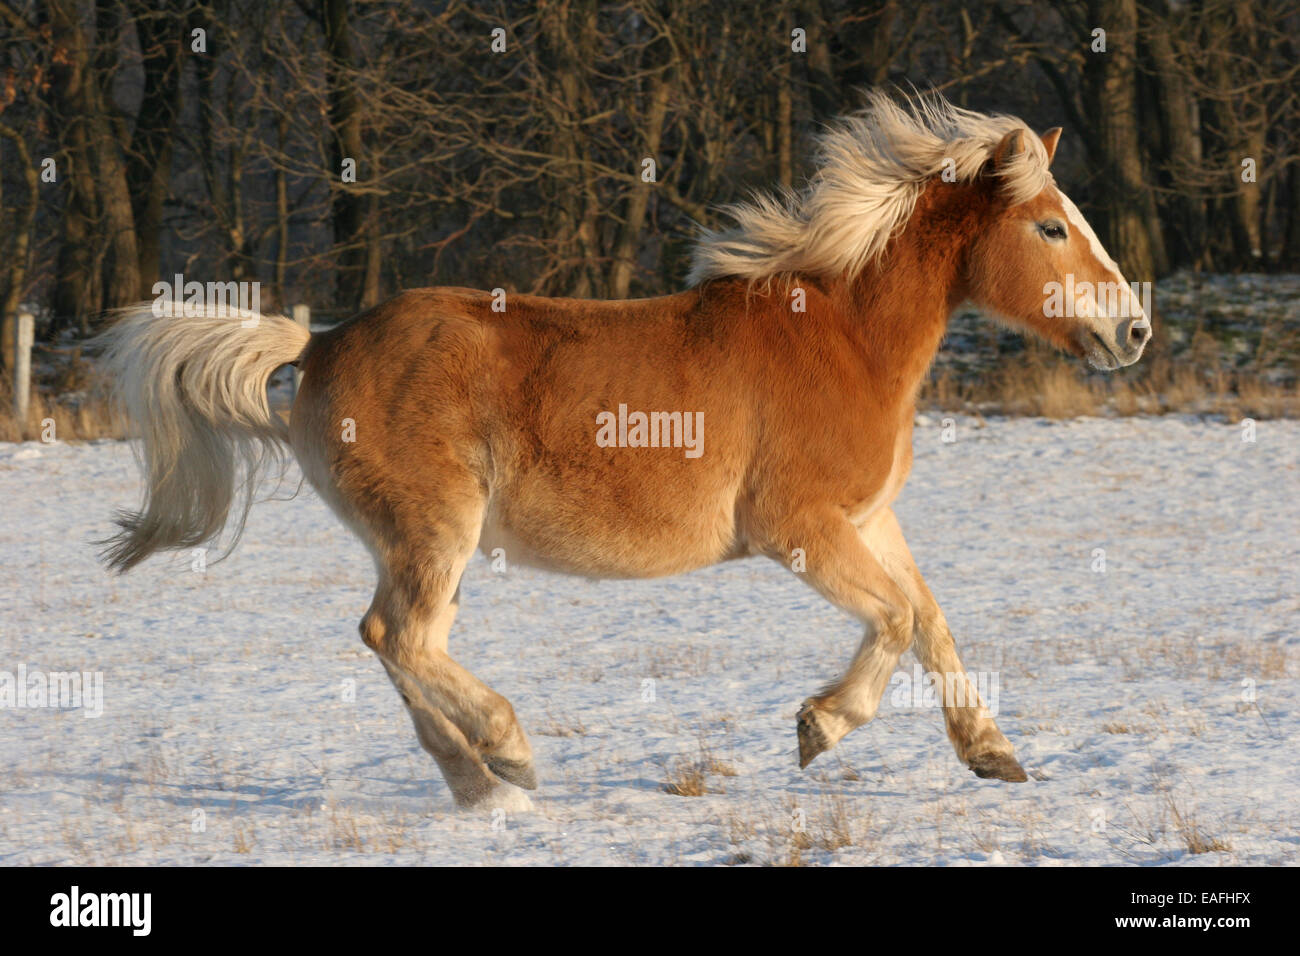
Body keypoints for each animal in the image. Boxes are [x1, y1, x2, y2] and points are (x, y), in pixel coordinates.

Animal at [98, 92, 1150, 808]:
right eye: (1050, 226)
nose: (1134, 331)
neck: (842, 338)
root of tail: (317, 347)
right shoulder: (798, 527)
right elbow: (893, 620)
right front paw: (819, 727)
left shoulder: (868, 519)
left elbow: (929, 619)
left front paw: (993, 754)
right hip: (435, 530)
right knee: (400, 637)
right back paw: (509, 751)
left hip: (421, 545)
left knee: (396, 645)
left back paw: (481, 789)